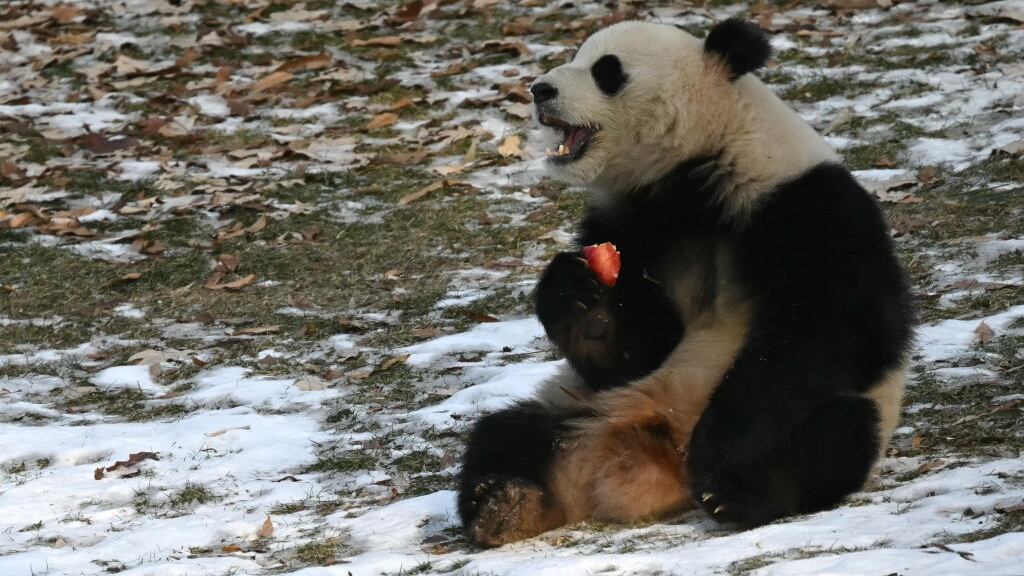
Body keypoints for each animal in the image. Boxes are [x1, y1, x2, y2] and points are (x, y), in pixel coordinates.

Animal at [458, 19, 915, 548]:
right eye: (578, 56)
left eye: (607, 71)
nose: (540, 89)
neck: (696, 171)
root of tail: (653, 458)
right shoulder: (634, 222)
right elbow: (635, 352)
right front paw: (578, 294)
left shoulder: (808, 204)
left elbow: (832, 329)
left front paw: (719, 449)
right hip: (579, 407)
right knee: (506, 434)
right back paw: (502, 502)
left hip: (847, 412)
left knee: (833, 436)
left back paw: (734, 493)